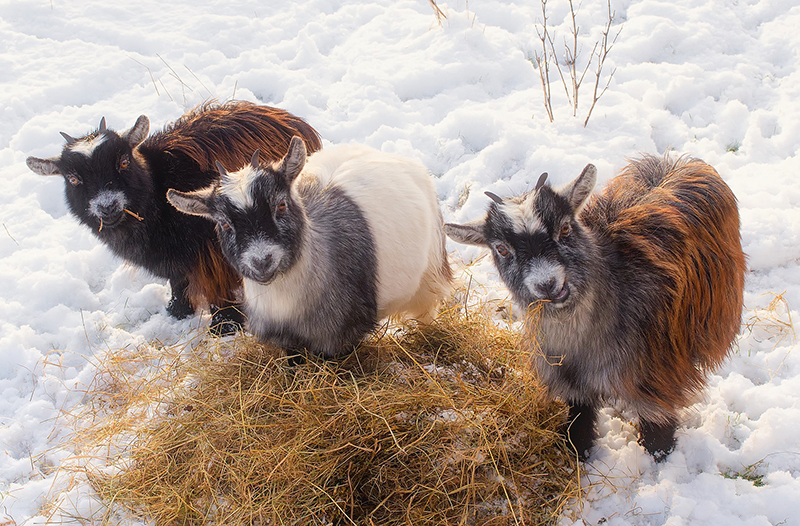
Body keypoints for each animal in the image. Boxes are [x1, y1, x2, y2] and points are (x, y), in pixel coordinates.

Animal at [26, 101, 322, 334]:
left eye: (123, 162)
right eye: (73, 178)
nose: (107, 207)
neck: (157, 195)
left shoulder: (212, 251)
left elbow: (218, 285)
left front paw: (225, 325)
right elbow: (178, 280)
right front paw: (177, 309)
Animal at [167, 137, 452, 357]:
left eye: (281, 205)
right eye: (224, 223)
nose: (262, 261)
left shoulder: (340, 336)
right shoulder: (285, 340)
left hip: (430, 274)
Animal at [445, 155, 746, 460]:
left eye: (565, 228)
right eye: (502, 249)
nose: (547, 284)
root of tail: (676, 160)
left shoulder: (655, 378)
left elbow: (658, 432)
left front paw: (660, 459)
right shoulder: (571, 383)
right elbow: (579, 421)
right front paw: (578, 453)